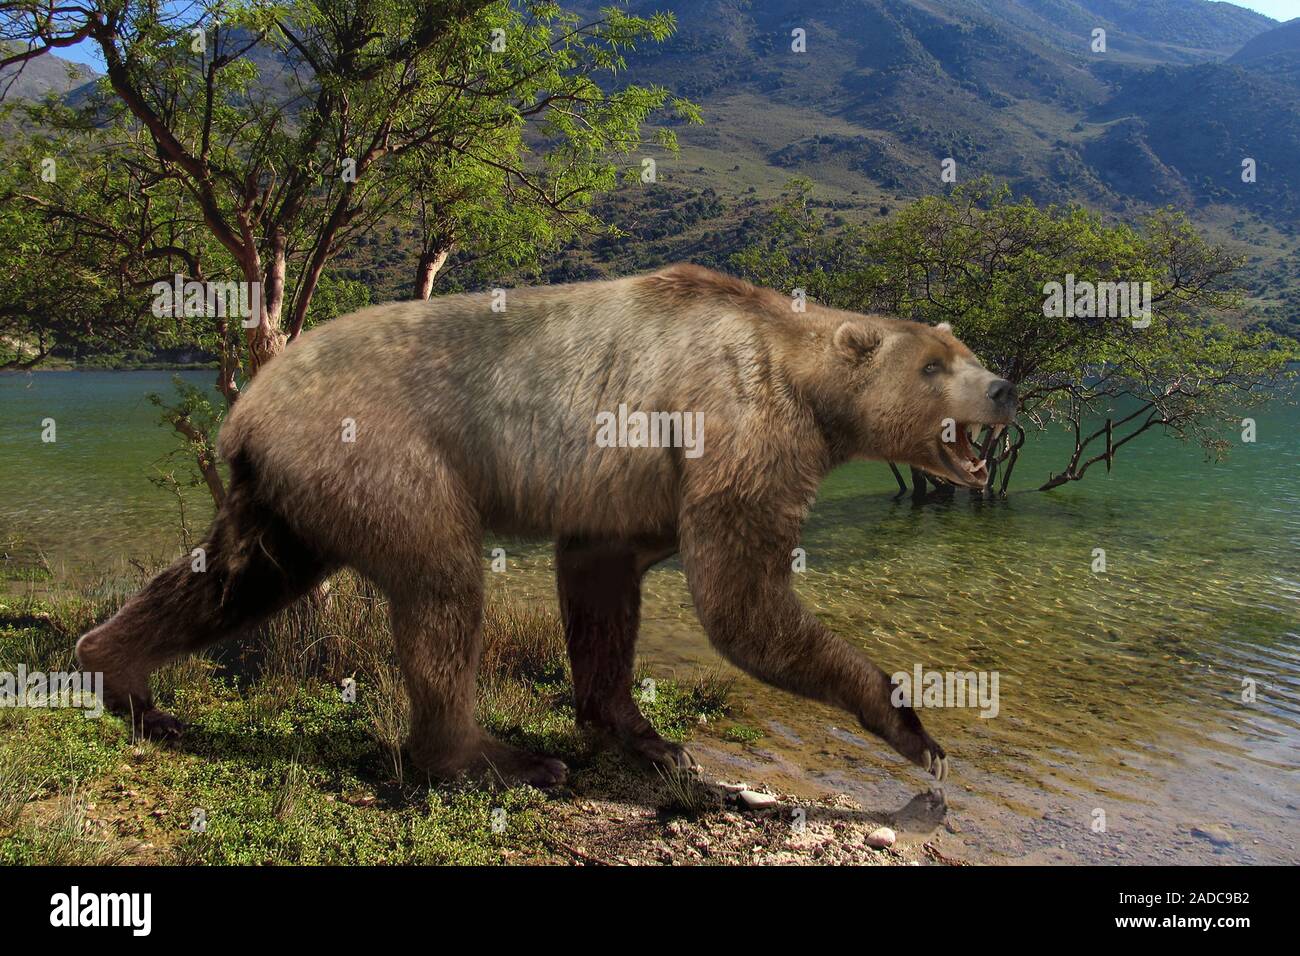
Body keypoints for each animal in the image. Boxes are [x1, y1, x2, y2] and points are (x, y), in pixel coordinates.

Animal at [76, 264, 1018, 786]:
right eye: (936, 366)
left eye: (967, 349)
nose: (1005, 386)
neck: (807, 383)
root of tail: (247, 410)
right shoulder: (738, 428)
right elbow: (739, 599)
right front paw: (912, 728)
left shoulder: (628, 489)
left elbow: (604, 586)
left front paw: (643, 735)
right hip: (380, 451)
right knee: (441, 592)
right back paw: (492, 759)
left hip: (291, 488)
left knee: (235, 576)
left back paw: (122, 679)